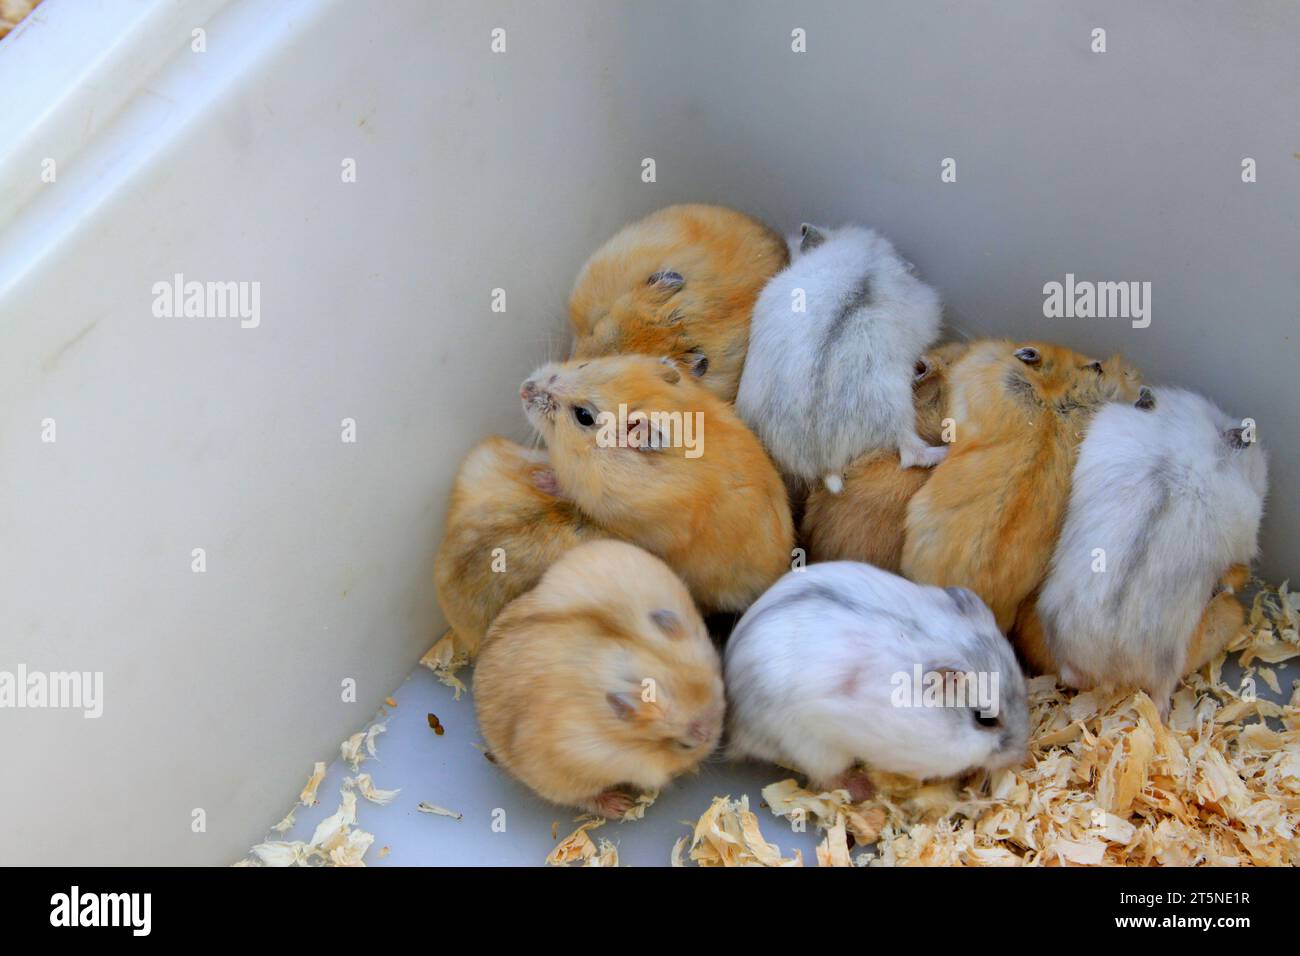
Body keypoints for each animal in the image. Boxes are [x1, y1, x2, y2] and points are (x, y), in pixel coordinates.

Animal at [724, 561, 1029, 797]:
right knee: (827, 777)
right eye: (985, 720)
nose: (1020, 757)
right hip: (812, 747)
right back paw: (864, 788)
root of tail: (736, 727)